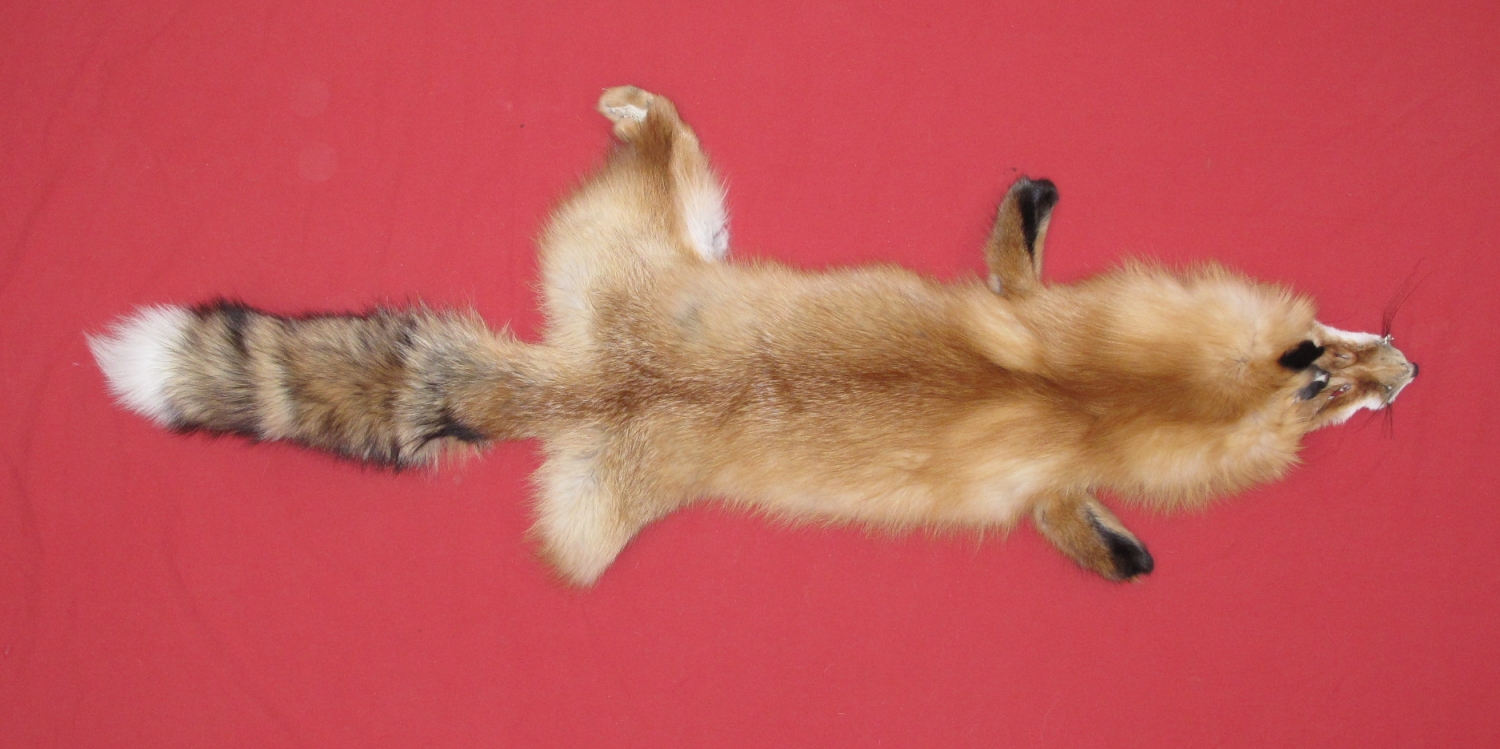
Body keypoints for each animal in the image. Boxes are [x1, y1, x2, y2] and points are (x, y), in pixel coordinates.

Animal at [89, 86, 1418, 585]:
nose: (1410, 365)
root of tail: (572, 385)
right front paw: (1128, 558)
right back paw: (642, 107)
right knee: (666, 142)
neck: (1093, 387)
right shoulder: (1050, 452)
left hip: (681, 234)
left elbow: (1011, 249)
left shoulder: (1033, 312)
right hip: (602, 518)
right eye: (1334, 379)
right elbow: (1081, 526)